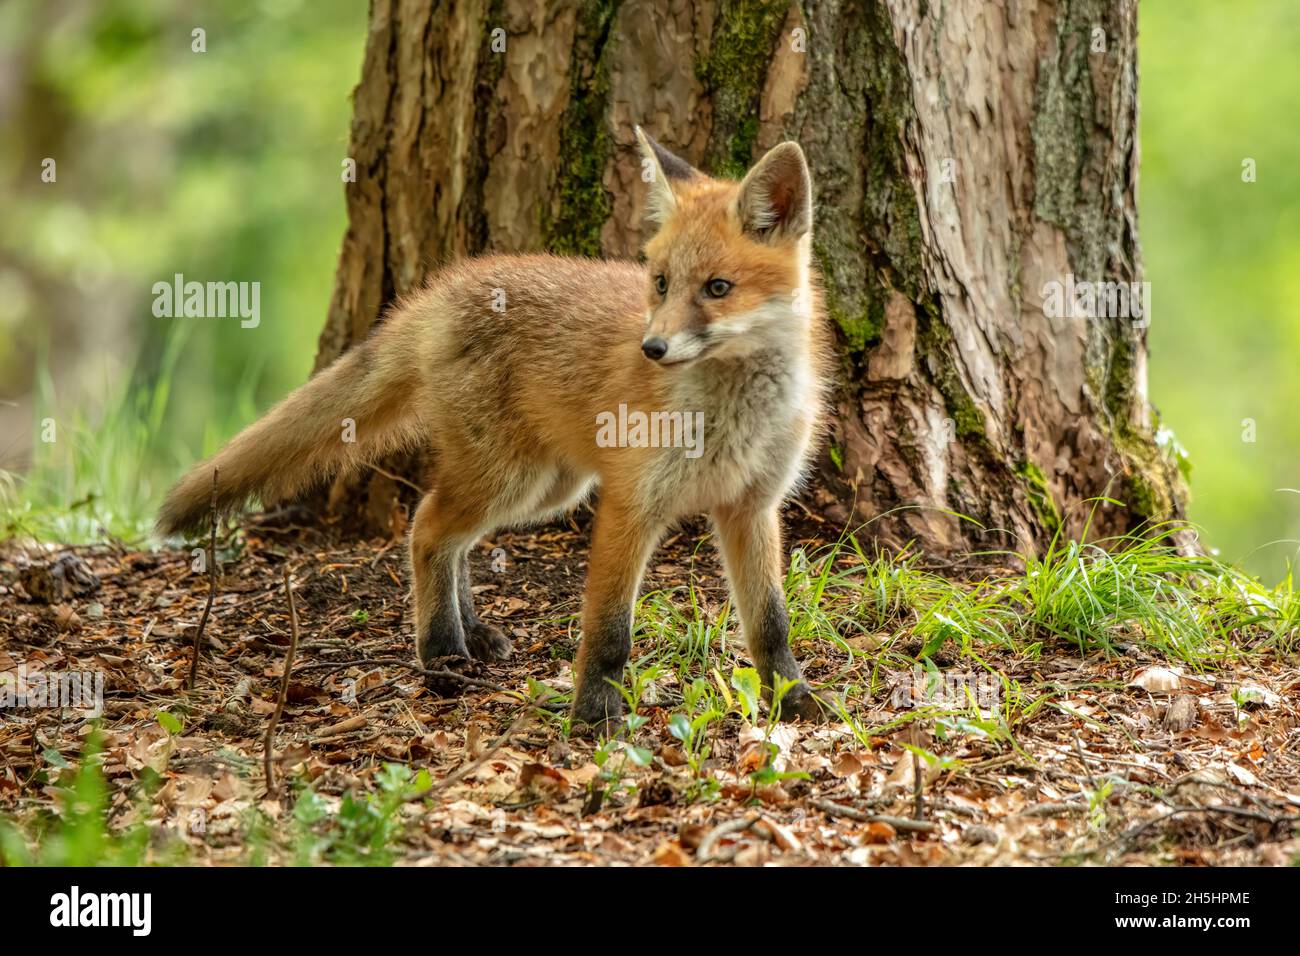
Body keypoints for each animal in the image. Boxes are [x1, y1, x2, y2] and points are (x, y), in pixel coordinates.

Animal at [157, 127, 834, 730]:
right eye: (661, 282)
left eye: (718, 288)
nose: (652, 349)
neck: (731, 417)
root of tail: (439, 290)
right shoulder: (630, 505)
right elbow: (609, 631)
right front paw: (595, 715)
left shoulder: (752, 505)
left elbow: (770, 624)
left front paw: (792, 699)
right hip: (515, 479)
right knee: (427, 526)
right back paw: (441, 651)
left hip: (546, 487)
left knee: (448, 535)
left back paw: (471, 630)